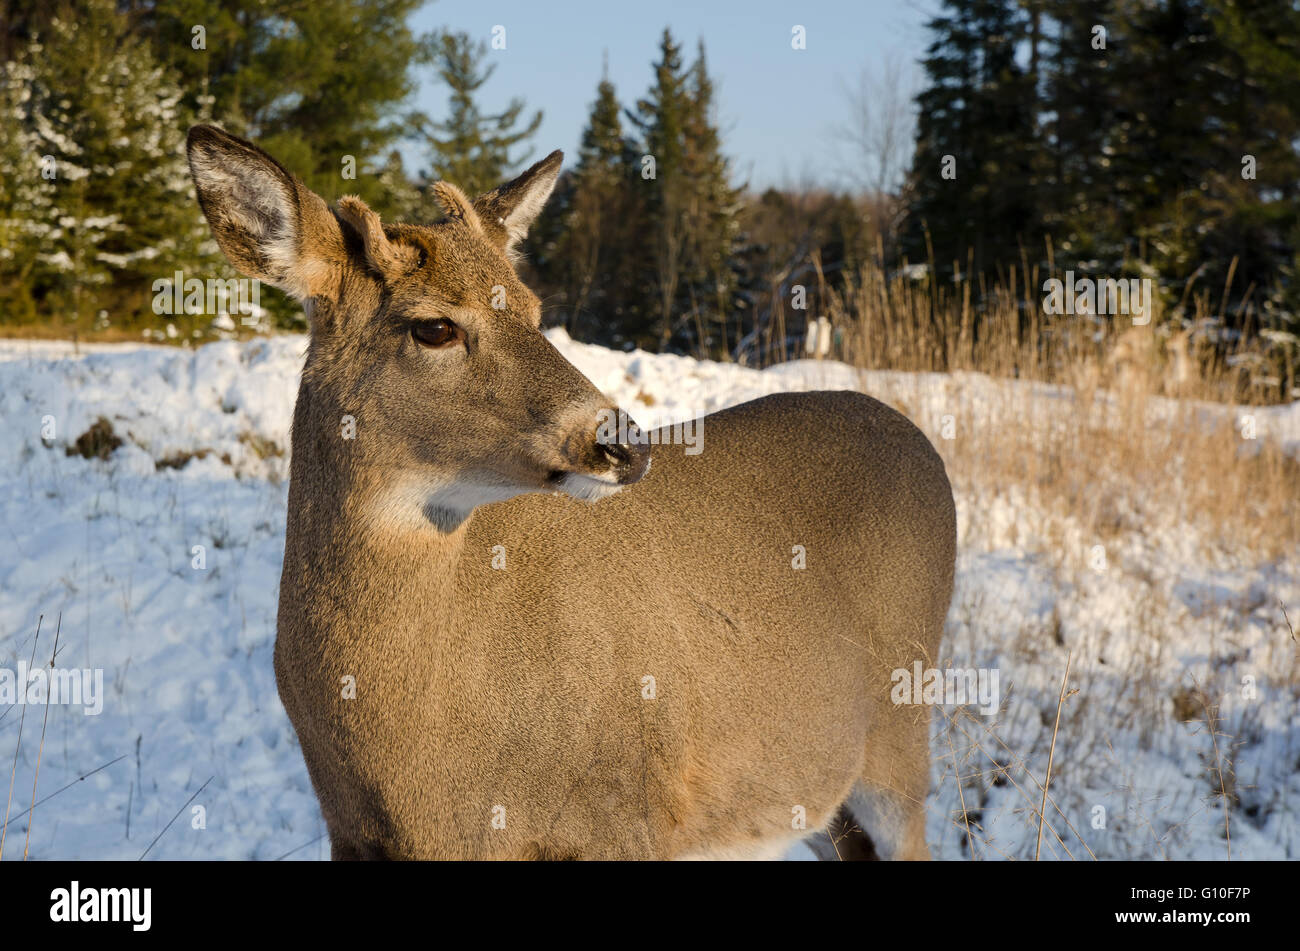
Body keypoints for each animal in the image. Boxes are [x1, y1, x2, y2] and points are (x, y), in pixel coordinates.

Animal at [186, 124, 957, 861]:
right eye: (433, 326)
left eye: (533, 308)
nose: (624, 442)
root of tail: (911, 434)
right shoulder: (350, 833)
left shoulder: (625, 816)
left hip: (899, 736)